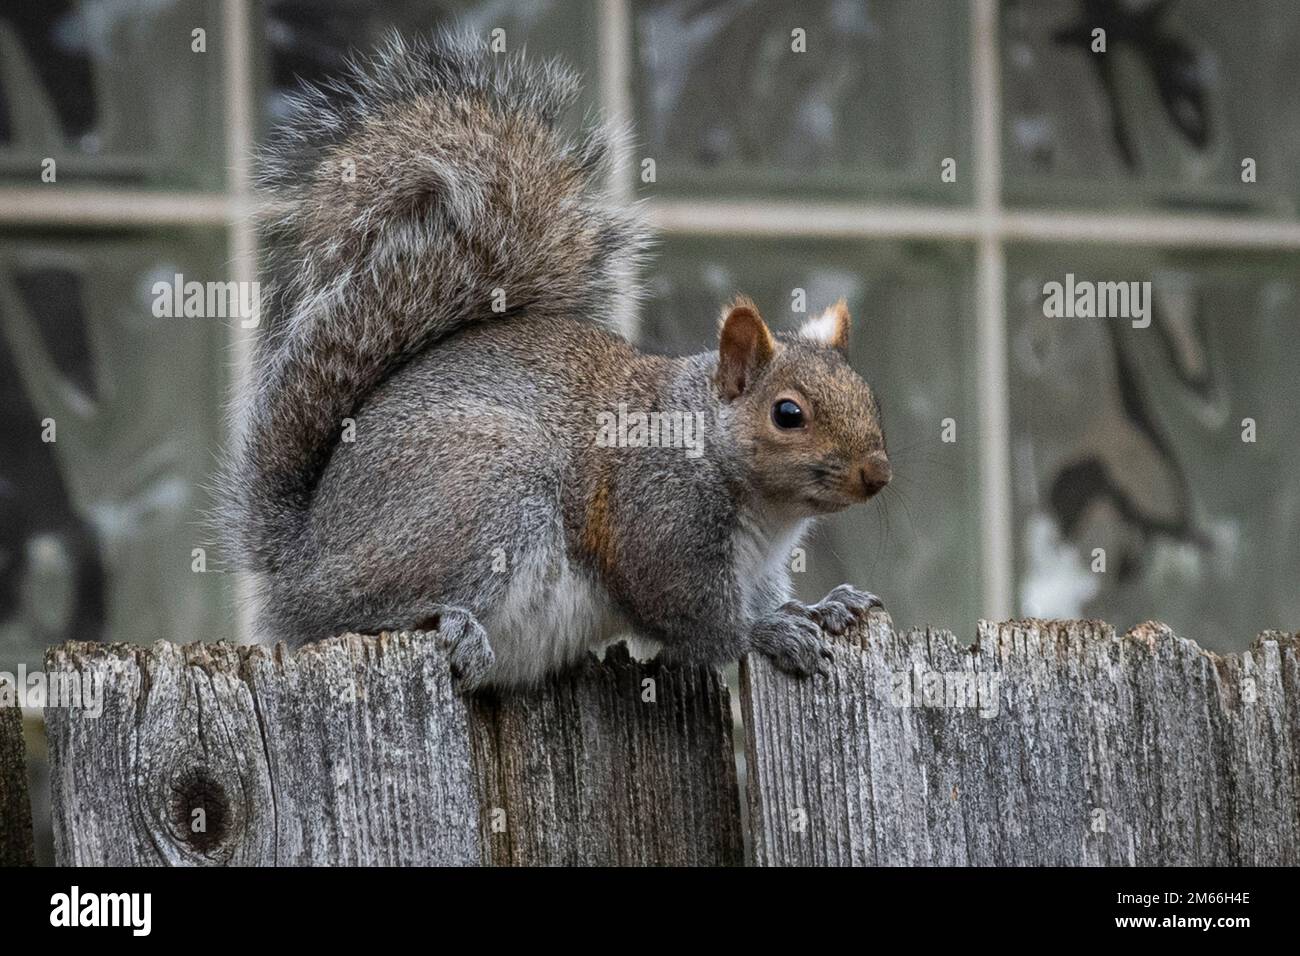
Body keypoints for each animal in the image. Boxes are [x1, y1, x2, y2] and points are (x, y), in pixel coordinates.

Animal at [219, 33, 892, 692]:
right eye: (788, 414)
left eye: (870, 398)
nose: (877, 474)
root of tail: (301, 562)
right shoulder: (657, 522)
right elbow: (696, 620)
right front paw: (767, 633)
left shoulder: (759, 566)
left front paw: (824, 607)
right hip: (486, 485)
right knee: (365, 614)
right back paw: (451, 625)